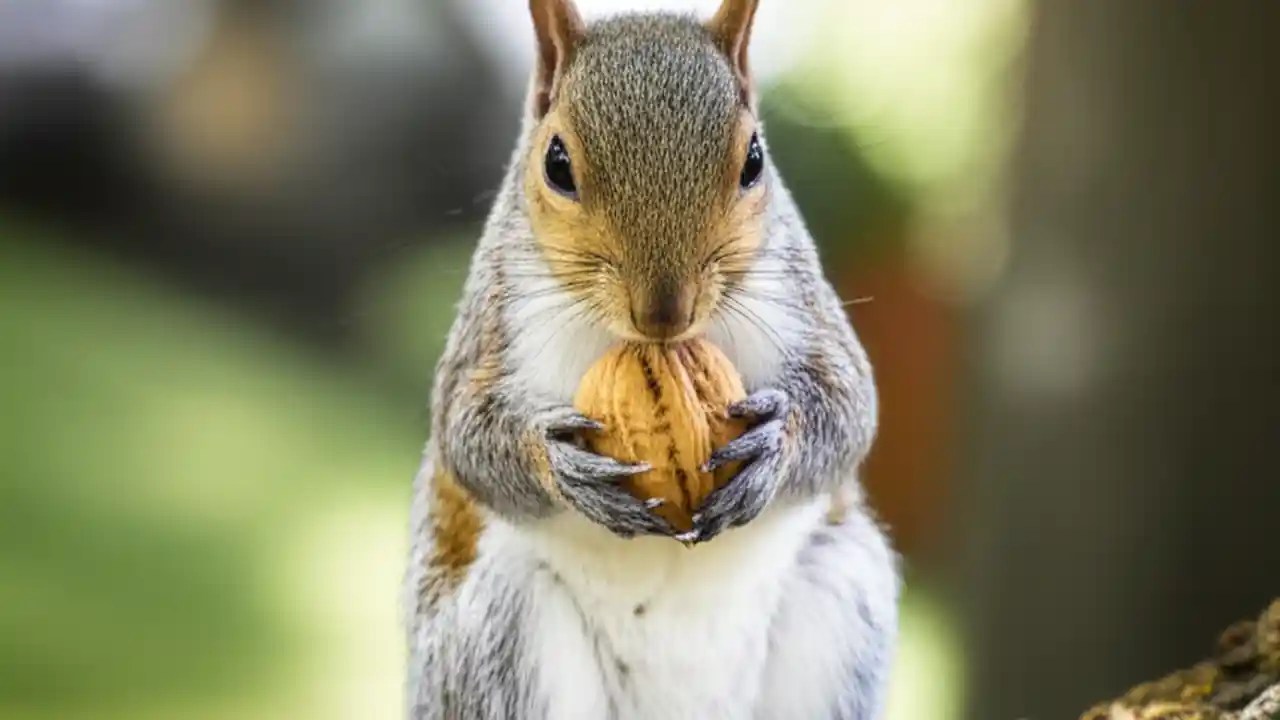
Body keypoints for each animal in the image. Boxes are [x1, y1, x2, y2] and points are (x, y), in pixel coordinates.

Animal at [405, 1, 900, 718]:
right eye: (557, 163)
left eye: (755, 160)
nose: (665, 312)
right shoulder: (491, 322)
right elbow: (465, 431)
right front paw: (560, 463)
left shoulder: (806, 306)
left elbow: (851, 405)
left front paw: (774, 444)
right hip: (506, 638)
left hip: (841, 598)